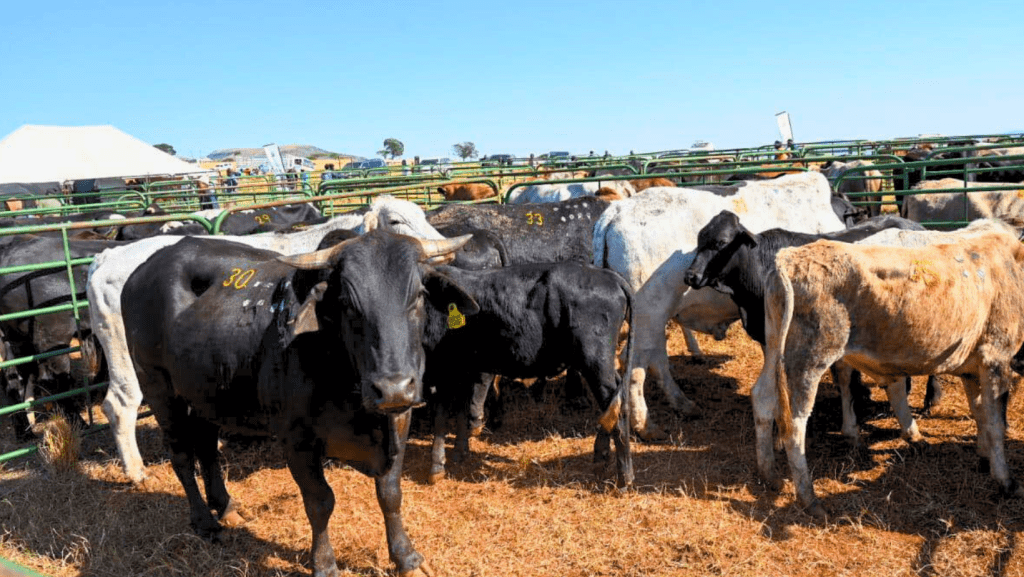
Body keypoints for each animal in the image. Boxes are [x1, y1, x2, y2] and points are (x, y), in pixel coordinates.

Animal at [87, 195, 453, 484]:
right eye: (396, 220)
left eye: (423, 214)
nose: (443, 249)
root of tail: (104, 258)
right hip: (130, 362)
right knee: (120, 403)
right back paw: (136, 472)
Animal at [121, 229, 475, 577]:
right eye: (347, 303)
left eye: (418, 296)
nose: (392, 389)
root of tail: (141, 272)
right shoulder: (296, 439)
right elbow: (320, 502)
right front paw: (325, 564)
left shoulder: (400, 421)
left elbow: (390, 493)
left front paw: (407, 558)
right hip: (159, 390)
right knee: (181, 456)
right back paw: (205, 521)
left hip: (205, 395)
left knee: (207, 450)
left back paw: (227, 507)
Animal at [420, 262, 635, 487]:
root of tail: (608, 275)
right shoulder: (464, 369)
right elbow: (462, 409)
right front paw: (459, 452)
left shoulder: (444, 369)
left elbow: (441, 416)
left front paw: (436, 467)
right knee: (613, 403)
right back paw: (601, 457)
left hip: (595, 361)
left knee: (617, 408)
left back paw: (624, 477)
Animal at [593, 172, 846, 440]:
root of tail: (617, 211)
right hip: (647, 317)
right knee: (634, 365)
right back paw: (645, 425)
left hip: (655, 320)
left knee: (656, 361)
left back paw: (682, 404)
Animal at [756, 219, 1024, 517]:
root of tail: (789, 257)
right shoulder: (995, 358)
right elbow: (995, 423)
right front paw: (1006, 480)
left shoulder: (972, 367)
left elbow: (980, 414)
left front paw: (984, 456)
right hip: (808, 359)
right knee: (794, 424)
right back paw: (809, 498)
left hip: (775, 349)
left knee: (763, 400)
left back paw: (769, 475)